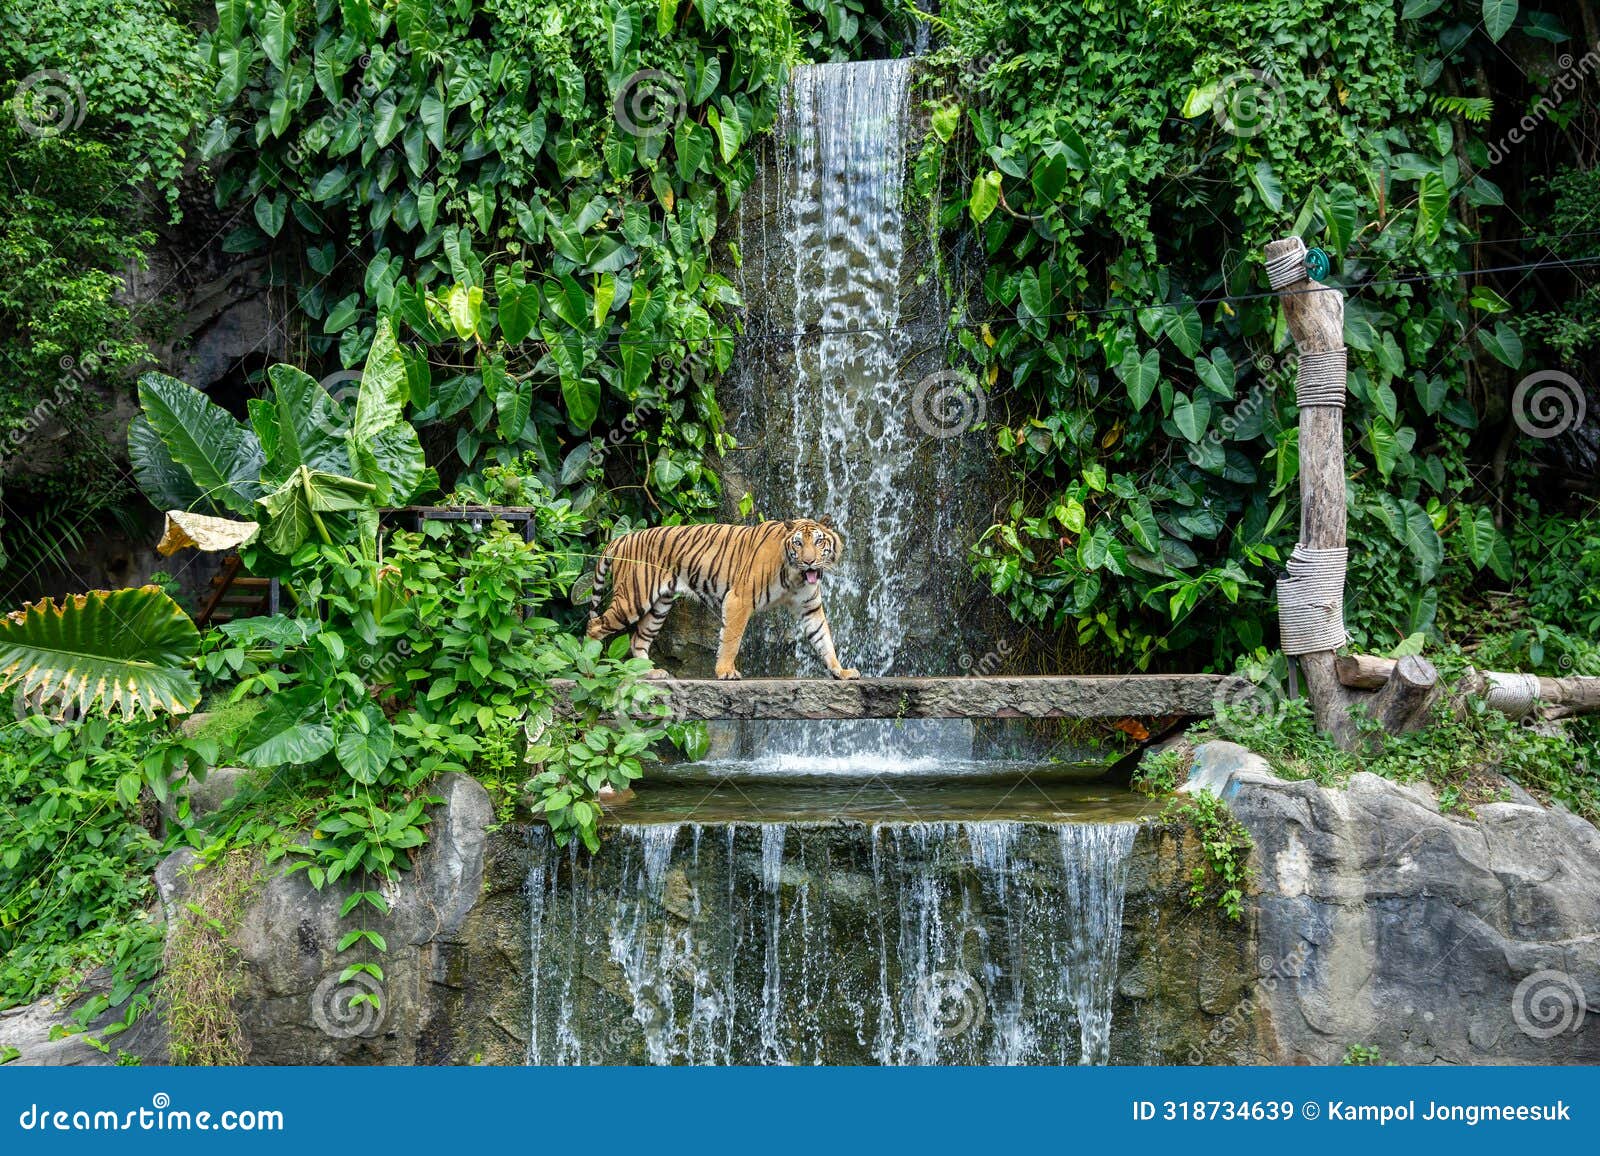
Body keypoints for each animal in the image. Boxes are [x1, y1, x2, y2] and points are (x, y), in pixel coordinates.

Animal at [585, 518, 859, 681]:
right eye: (799, 544)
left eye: (819, 541)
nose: (810, 561)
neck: (797, 577)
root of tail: (623, 537)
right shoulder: (739, 599)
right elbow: (731, 639)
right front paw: (726, 671)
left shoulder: (810, 607)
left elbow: (824, 639)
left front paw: (841, 671)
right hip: (632, 598)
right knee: (595, 625)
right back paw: (589, 666)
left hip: (660, 605)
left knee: (638, 639)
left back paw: (650, 673)